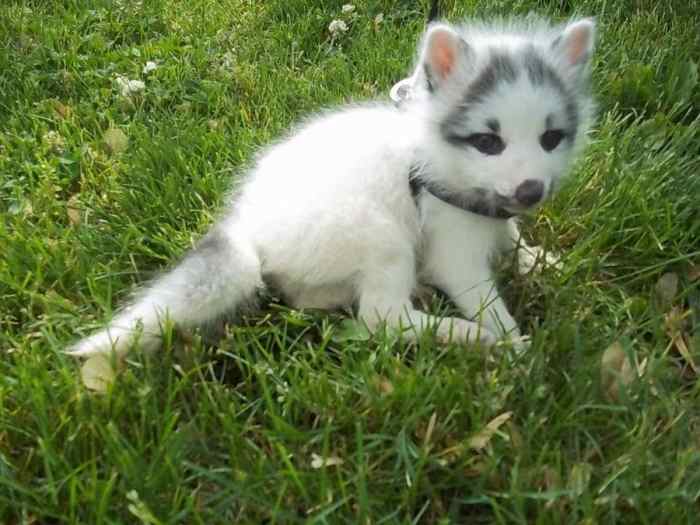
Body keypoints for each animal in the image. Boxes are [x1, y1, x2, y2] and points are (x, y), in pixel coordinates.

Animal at [69, 16, 596, 362]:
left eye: (551, 138)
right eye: (488, 142)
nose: (531, 192)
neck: (435, 156)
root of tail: (249, 233)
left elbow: (511, 237)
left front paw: (538, 260)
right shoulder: (454, 252)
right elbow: (487, 303)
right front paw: (516, 349)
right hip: (381, 234)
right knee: (382, 319)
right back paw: (463, 334)